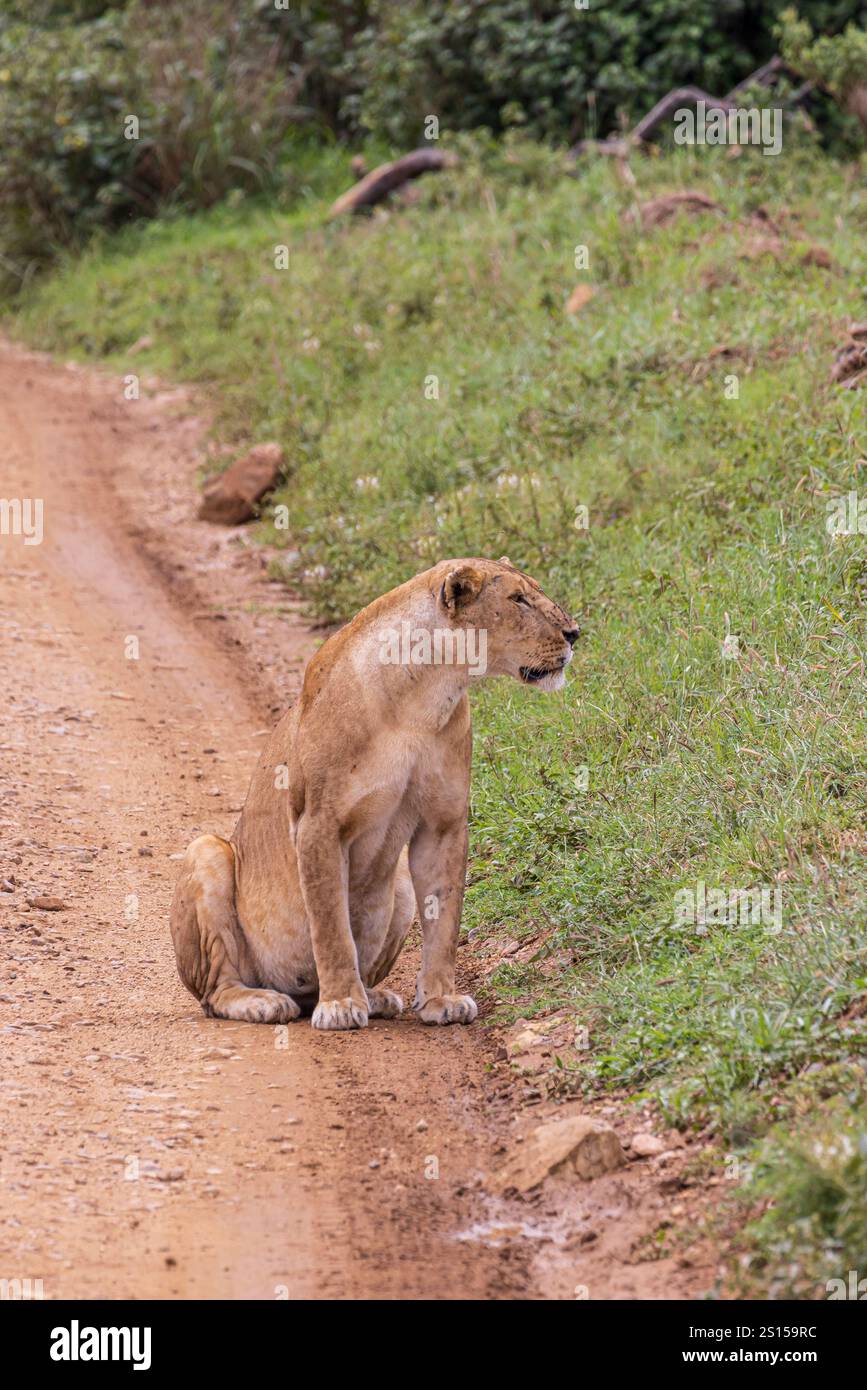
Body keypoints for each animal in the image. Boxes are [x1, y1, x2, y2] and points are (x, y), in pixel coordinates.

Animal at [169, 556, 578, 1030]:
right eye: (518, 599)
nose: (575, 633)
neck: (425, 693)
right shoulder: (318, 824)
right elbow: (331, 926)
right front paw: (341, 1004)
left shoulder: (443, 823)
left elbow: (445, 920)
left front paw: (441, 999)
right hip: (205, 852)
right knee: (216, 990)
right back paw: (263, 1001)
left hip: (398, 883)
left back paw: (375, 996)